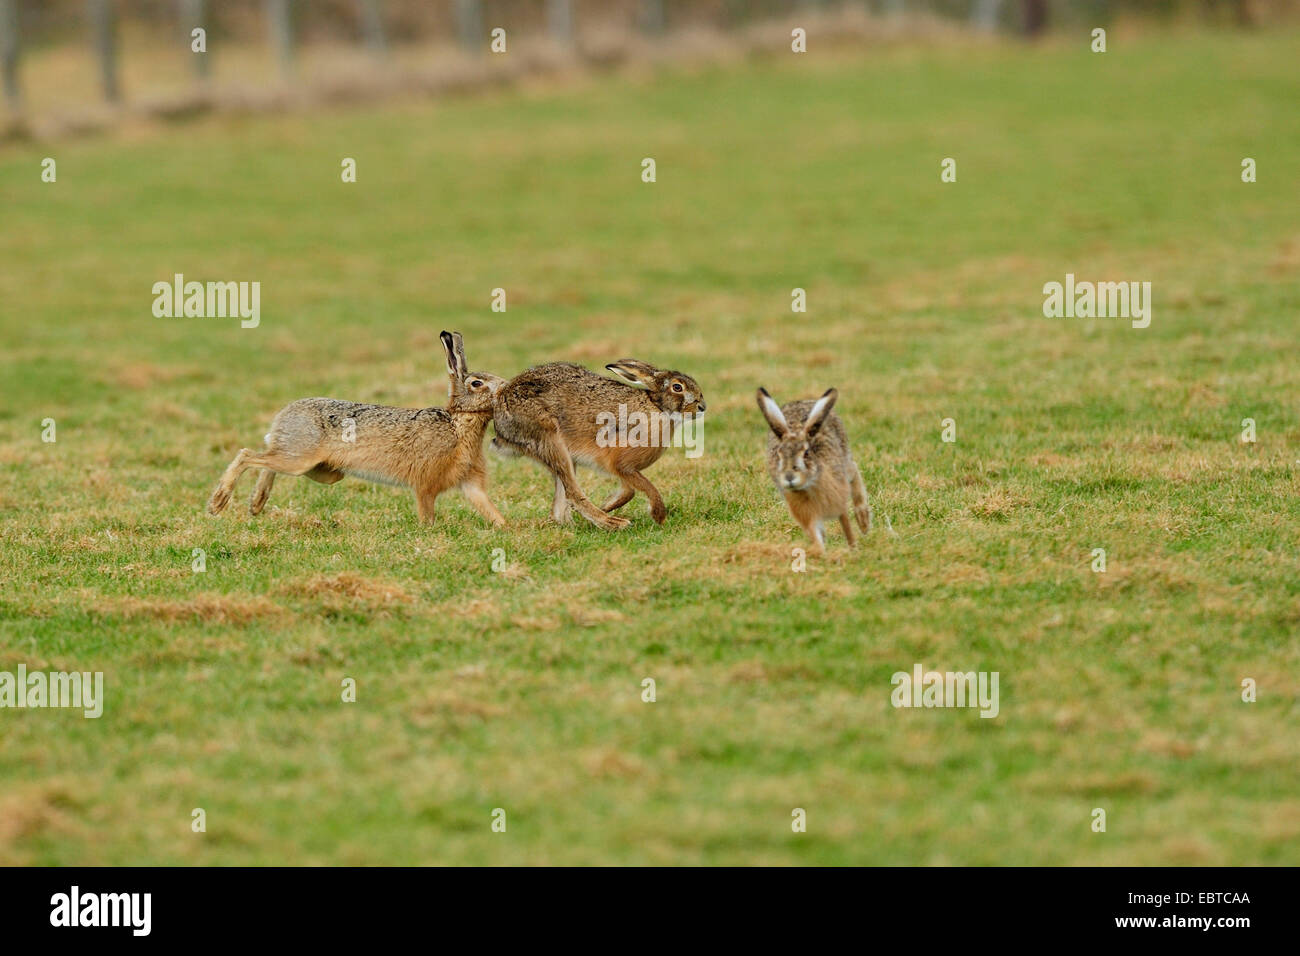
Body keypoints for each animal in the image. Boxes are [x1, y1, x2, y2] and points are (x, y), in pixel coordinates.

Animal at [207, 331, 507, 526]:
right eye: (477, 383)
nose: (505, 387)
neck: (460, 423)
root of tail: (284, 414)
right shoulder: (425, 483)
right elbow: (426, 511)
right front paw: (428, 531)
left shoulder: (471, 483)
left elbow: (487, 506)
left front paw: (505, 526)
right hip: (300, 459)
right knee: (247, 455)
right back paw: (218, 502)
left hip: (324, 471)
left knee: (268, 459)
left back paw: (257, 503)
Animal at [490, 359, 706, 529]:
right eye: (677, 387)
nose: (702, 407)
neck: (657, 408)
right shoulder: (621, 464)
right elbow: (645, 486)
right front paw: (658, 515)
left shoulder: (622, 471)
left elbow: (629, 491)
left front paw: (608, 504)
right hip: (550, 439)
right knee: (573, 494)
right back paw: (613, 524)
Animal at [757, 386, 872, 556]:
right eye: (779, 454)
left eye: (806, 453)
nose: (789, 477)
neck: (809, 487)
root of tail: (801, 401)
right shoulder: (807, 516)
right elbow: (815, 534)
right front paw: (821, 553)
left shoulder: (839, 501)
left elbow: (846, 526)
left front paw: (853, 549)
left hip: (845, 462)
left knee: (854, 472)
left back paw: (863, 522)